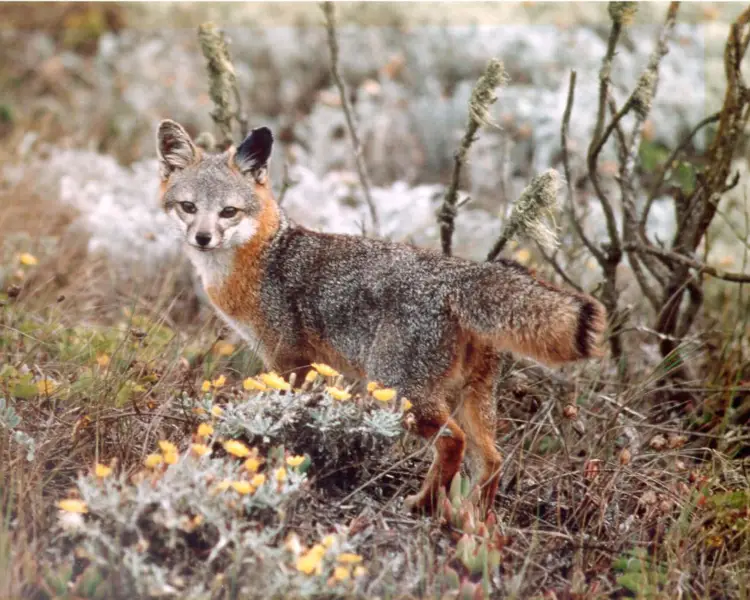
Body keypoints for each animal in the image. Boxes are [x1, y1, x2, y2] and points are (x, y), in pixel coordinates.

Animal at [156, 119, 607, 514]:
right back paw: (474, 521)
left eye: (228, 212)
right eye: (188, 207)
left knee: (453, 443)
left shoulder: (288, 360)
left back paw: (424, 505)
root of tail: (459, 273)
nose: (203, 237)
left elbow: (284, 413)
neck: (264, 257)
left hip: (400, 391)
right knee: (493, 459)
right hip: (472, 399)